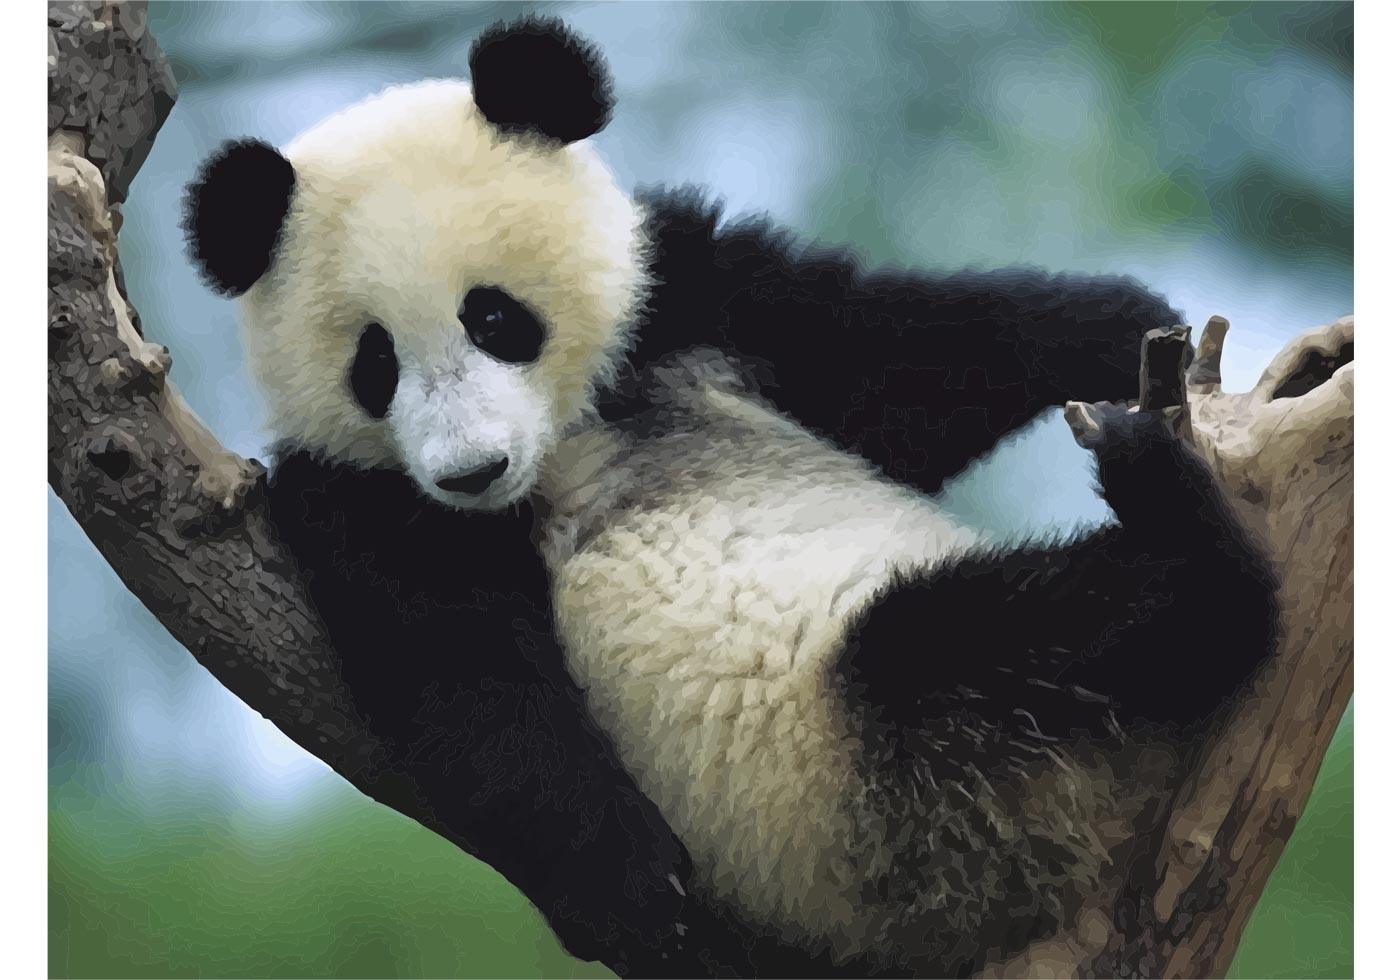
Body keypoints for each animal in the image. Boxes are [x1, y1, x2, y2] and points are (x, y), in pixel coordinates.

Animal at [183, 16, 1278, 978]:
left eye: (493, 317)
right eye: (376, 364)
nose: (471, 470)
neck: (566, 439)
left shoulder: (690, 299)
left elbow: (895, 358)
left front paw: (1123, 324)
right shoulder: (361, 498)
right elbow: (461, 672)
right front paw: (622, 881)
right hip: (897, 783)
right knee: (989, 642)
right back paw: (1175, 525)